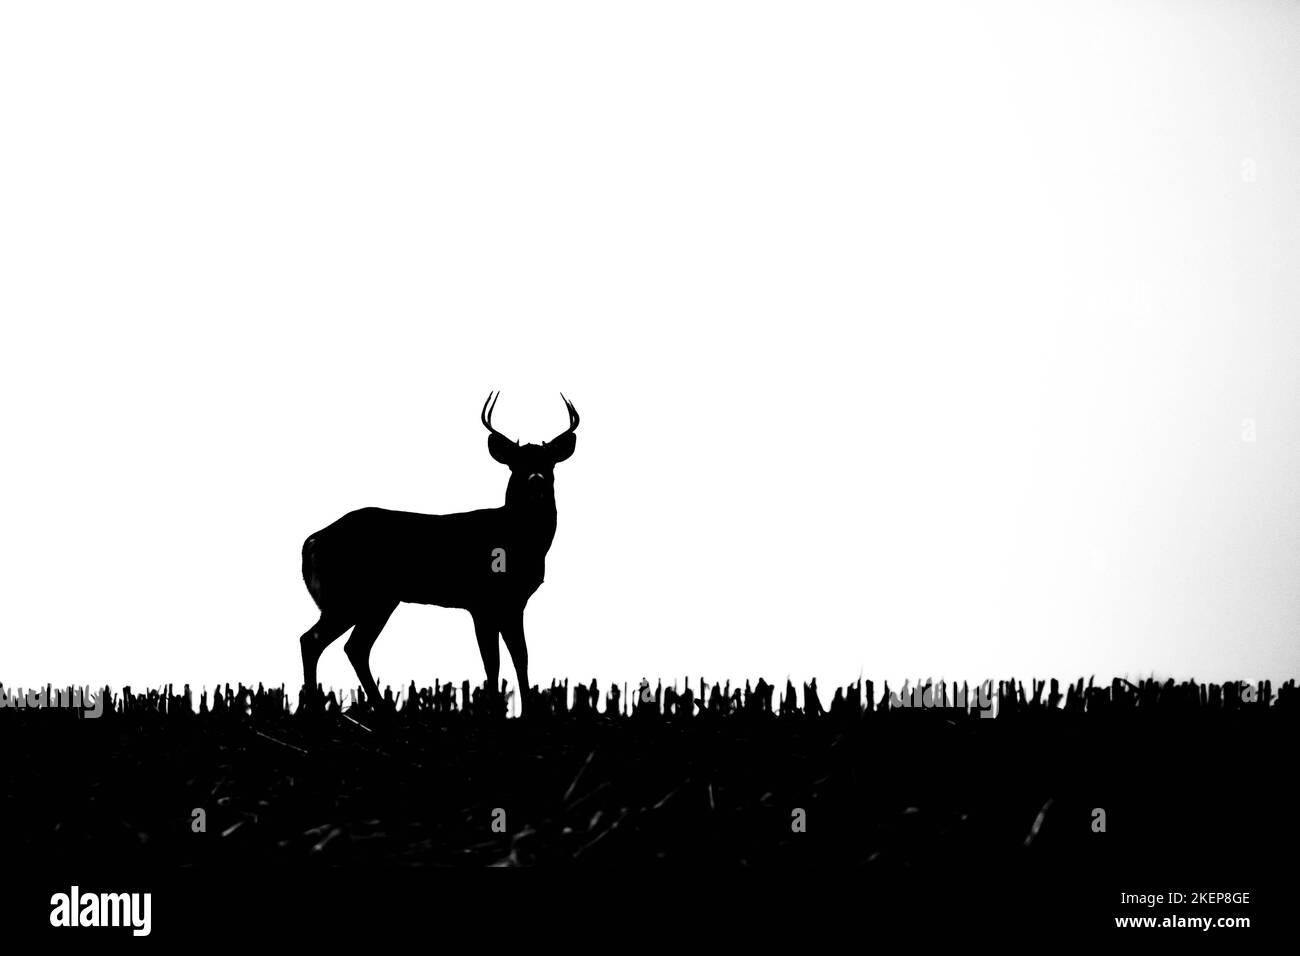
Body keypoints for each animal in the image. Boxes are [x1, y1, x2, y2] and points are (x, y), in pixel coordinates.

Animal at [298, 392, 579, 718]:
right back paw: (318, 708)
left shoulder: (513, 603)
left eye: (550, 463)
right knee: (313, 640)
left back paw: (383, 710)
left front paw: (527, 713)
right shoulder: (482, 601)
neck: (515, 539)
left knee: (354, 647)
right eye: (516, 465)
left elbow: (521, 657)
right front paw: (496, 711)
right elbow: (492, 660)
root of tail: (312, 541)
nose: (536, 480)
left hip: (379, 600)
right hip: (350, 595)